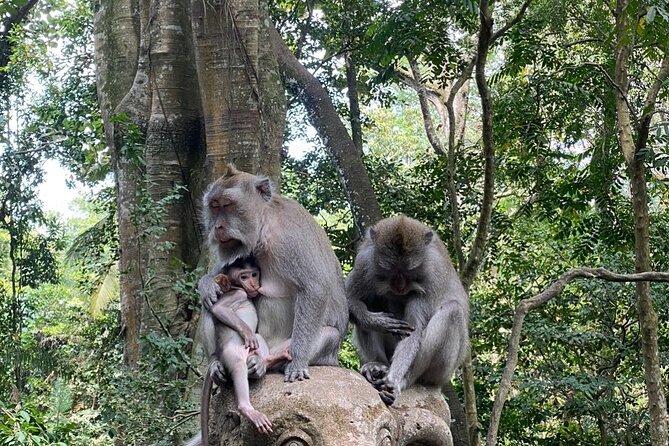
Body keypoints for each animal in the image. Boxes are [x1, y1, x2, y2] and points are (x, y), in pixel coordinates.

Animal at [198, 165, 348, 384]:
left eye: (228, 204)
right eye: (214, 206)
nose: (217, 227)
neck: (265, 225)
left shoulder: (289, 238)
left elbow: (314, 289)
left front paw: (298, 361)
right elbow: (221, 275)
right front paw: (206, 284)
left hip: (318, 353)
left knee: (329, 333)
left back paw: (264, 364)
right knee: (211, 303)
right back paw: (217, 362)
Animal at [200, 257, 292, 444]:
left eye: (254, 274)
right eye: (244, 276)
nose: (253, 283)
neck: (237, 288)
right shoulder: (238, 295)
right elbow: (219, 309)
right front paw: (247, 333)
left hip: (252, 353)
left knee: (259, 340)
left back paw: (269, 360)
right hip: (231, 353)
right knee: (238, 366)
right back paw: (247, 409)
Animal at [346, 215, 470, 406]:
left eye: (409, 271)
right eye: (389, 270)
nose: (400, 286)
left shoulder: (431, 279)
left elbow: (414, 331)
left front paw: (395, 380)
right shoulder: (364, 264)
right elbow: (349, 297)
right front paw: (377, 322)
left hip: (442, 373)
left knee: (452, 311)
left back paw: (405, 380)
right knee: (369, 302)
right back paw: (376, 365)